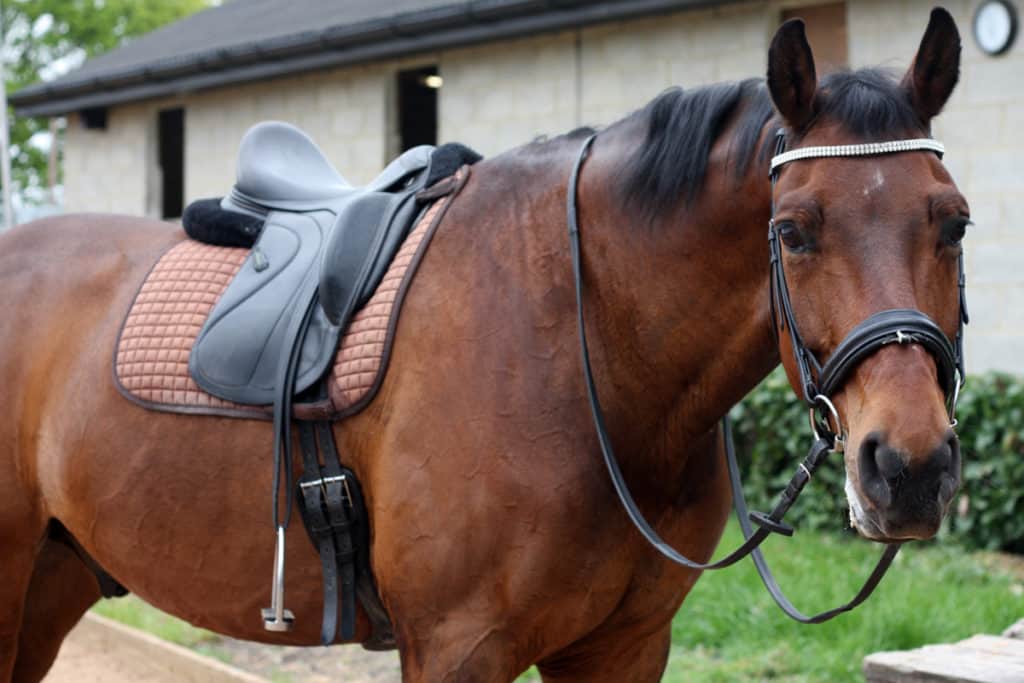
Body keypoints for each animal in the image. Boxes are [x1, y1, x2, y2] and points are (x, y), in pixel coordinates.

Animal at [0, 8, 968, 681]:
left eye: (953, 223)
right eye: (794, 231)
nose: (909, 464)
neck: (587, 357)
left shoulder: (625, 645)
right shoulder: (459, 646)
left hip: (54, 575)